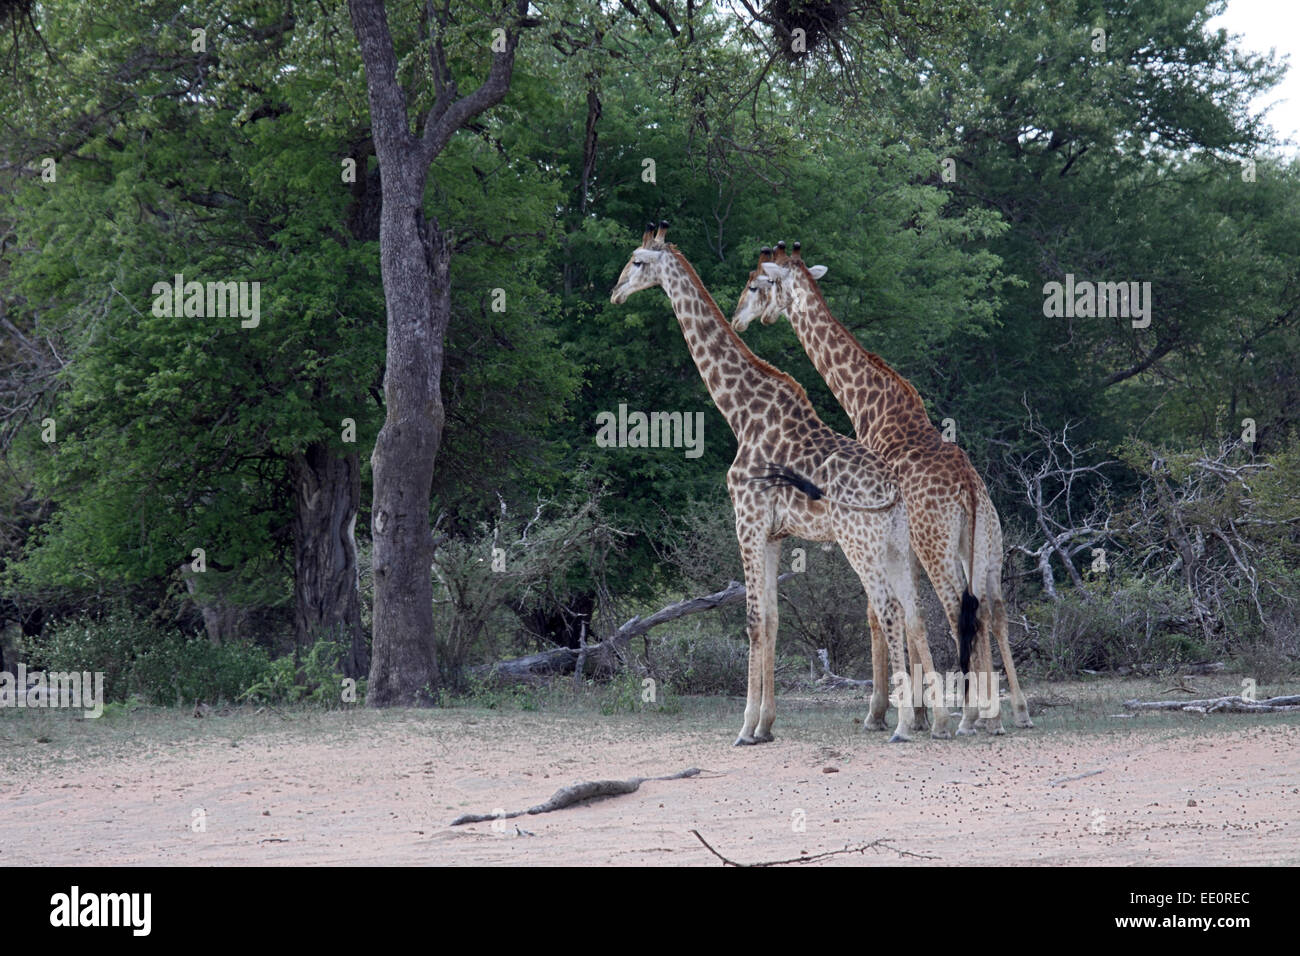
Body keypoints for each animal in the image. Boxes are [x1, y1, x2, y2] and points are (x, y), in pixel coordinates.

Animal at [610, 223, 951, 745]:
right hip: (895, 543)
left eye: (637, 261)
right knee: (913, 611)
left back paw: (902, 725)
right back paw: (940, 720)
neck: (741, 414)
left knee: (888, 609)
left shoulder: (747, 521)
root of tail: (893, 492)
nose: (615, 292)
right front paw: (765, 725)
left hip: (860, 542)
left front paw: (745, 726)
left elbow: (753, 621)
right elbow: (771, 620)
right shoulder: (772, 534)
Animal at [730, 241, 1032, 733]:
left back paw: (972, 715)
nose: (739, 318)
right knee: (993, 608)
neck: (866, 403)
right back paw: (1009, 712)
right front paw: (922, 711)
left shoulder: (879, 535)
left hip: (935, 543)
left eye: (758, 284)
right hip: (986, 545)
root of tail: (969, 488)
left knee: (958, 609)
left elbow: (879, 614)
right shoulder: (899, 544)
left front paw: (884, 712)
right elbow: (907, 614)